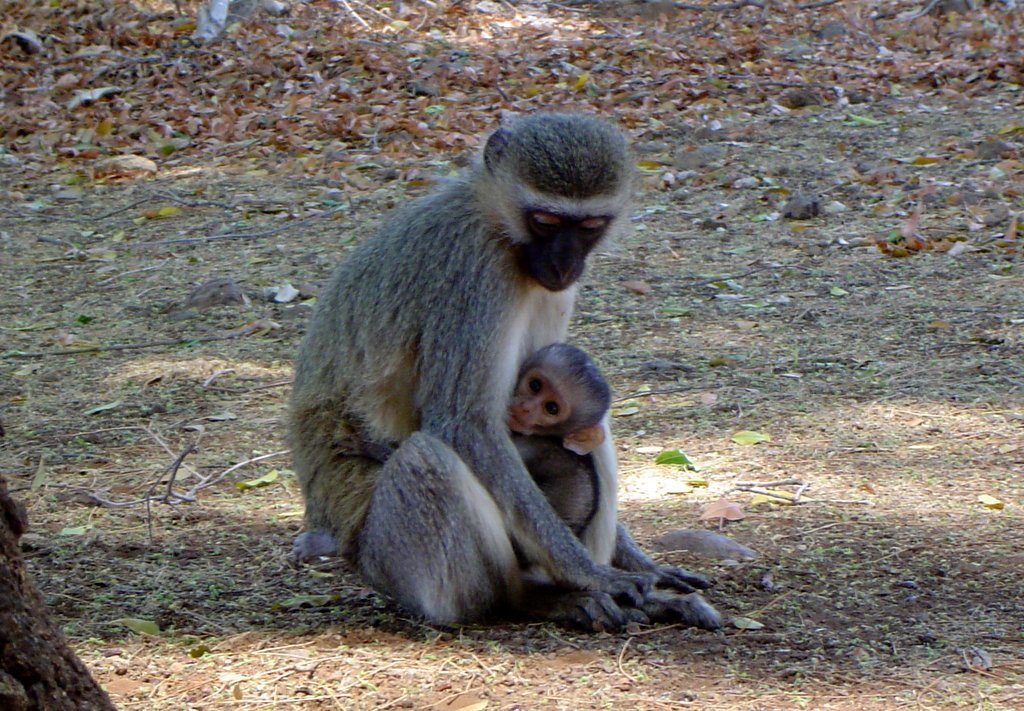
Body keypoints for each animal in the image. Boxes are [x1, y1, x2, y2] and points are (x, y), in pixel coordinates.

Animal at [289, 112, 721, 631]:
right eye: (545, 222)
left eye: (590, 227)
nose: (564, 264)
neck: (497, 225)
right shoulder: (474, 271)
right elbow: (465, 425)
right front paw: (593, 574)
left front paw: (643, 568)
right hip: (382, 554)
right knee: (426, 457)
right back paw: (534, 600)